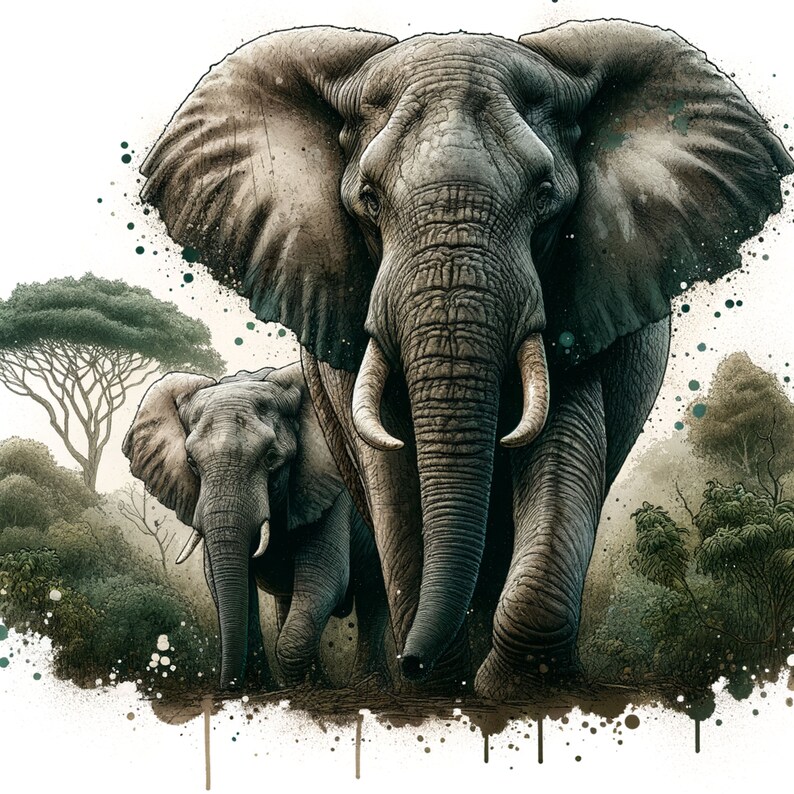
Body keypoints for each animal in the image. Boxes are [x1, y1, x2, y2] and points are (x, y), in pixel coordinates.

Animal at [122, 363, 389, 691]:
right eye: (191, 462)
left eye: (272, 458)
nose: (228, 688)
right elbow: (219, 579)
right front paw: (263, 687)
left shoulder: (329, 486)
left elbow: (326, 575)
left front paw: (300, 689)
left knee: (372, 593)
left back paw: (365, 686)